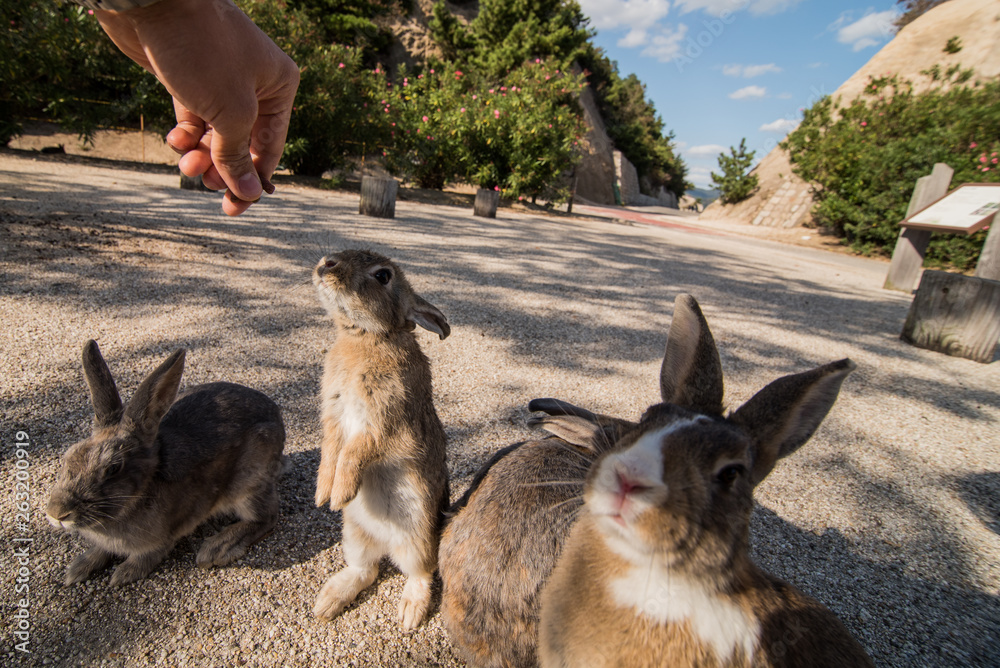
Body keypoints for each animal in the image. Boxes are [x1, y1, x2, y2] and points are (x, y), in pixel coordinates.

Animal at [46, 340, 286, 587]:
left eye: (113, 468)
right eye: (67, 457)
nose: (57, 514)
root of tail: (277, 417)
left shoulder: (165, 537)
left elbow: (148, 555)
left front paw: (124, 573)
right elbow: (101, 550)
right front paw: (79, 568)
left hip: (248, 485)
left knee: (266, 517)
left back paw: (215, 549)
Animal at [311, 249, 451, 631]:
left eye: (383, 276)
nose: (326, 263)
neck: (365, 335)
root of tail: (385, 543)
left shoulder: (385, 422)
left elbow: (356, 451)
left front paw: (341, 493)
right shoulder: (334, 414)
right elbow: (331, 449)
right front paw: (323, 495)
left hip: (417, 538)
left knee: (421, 572)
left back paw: (410, 614)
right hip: (353, 535)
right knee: (366, 570)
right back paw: (326, 603)